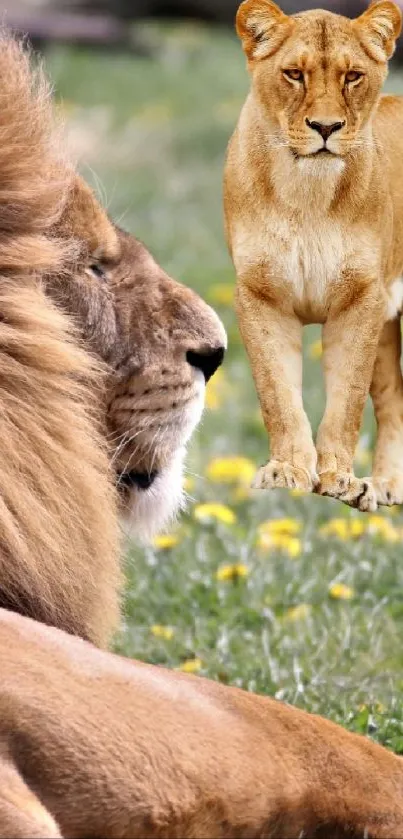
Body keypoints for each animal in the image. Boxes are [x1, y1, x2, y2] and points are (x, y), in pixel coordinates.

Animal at [224, 0, 403, 512]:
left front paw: (338, 479)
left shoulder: (361, 298)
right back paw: (386, 486)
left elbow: (346, 401)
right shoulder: (261, 296)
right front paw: (288, 472)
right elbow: (278, 394)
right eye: (294, 74)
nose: (325, 128)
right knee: (393, 400)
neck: (307, 195)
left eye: (353, 76)